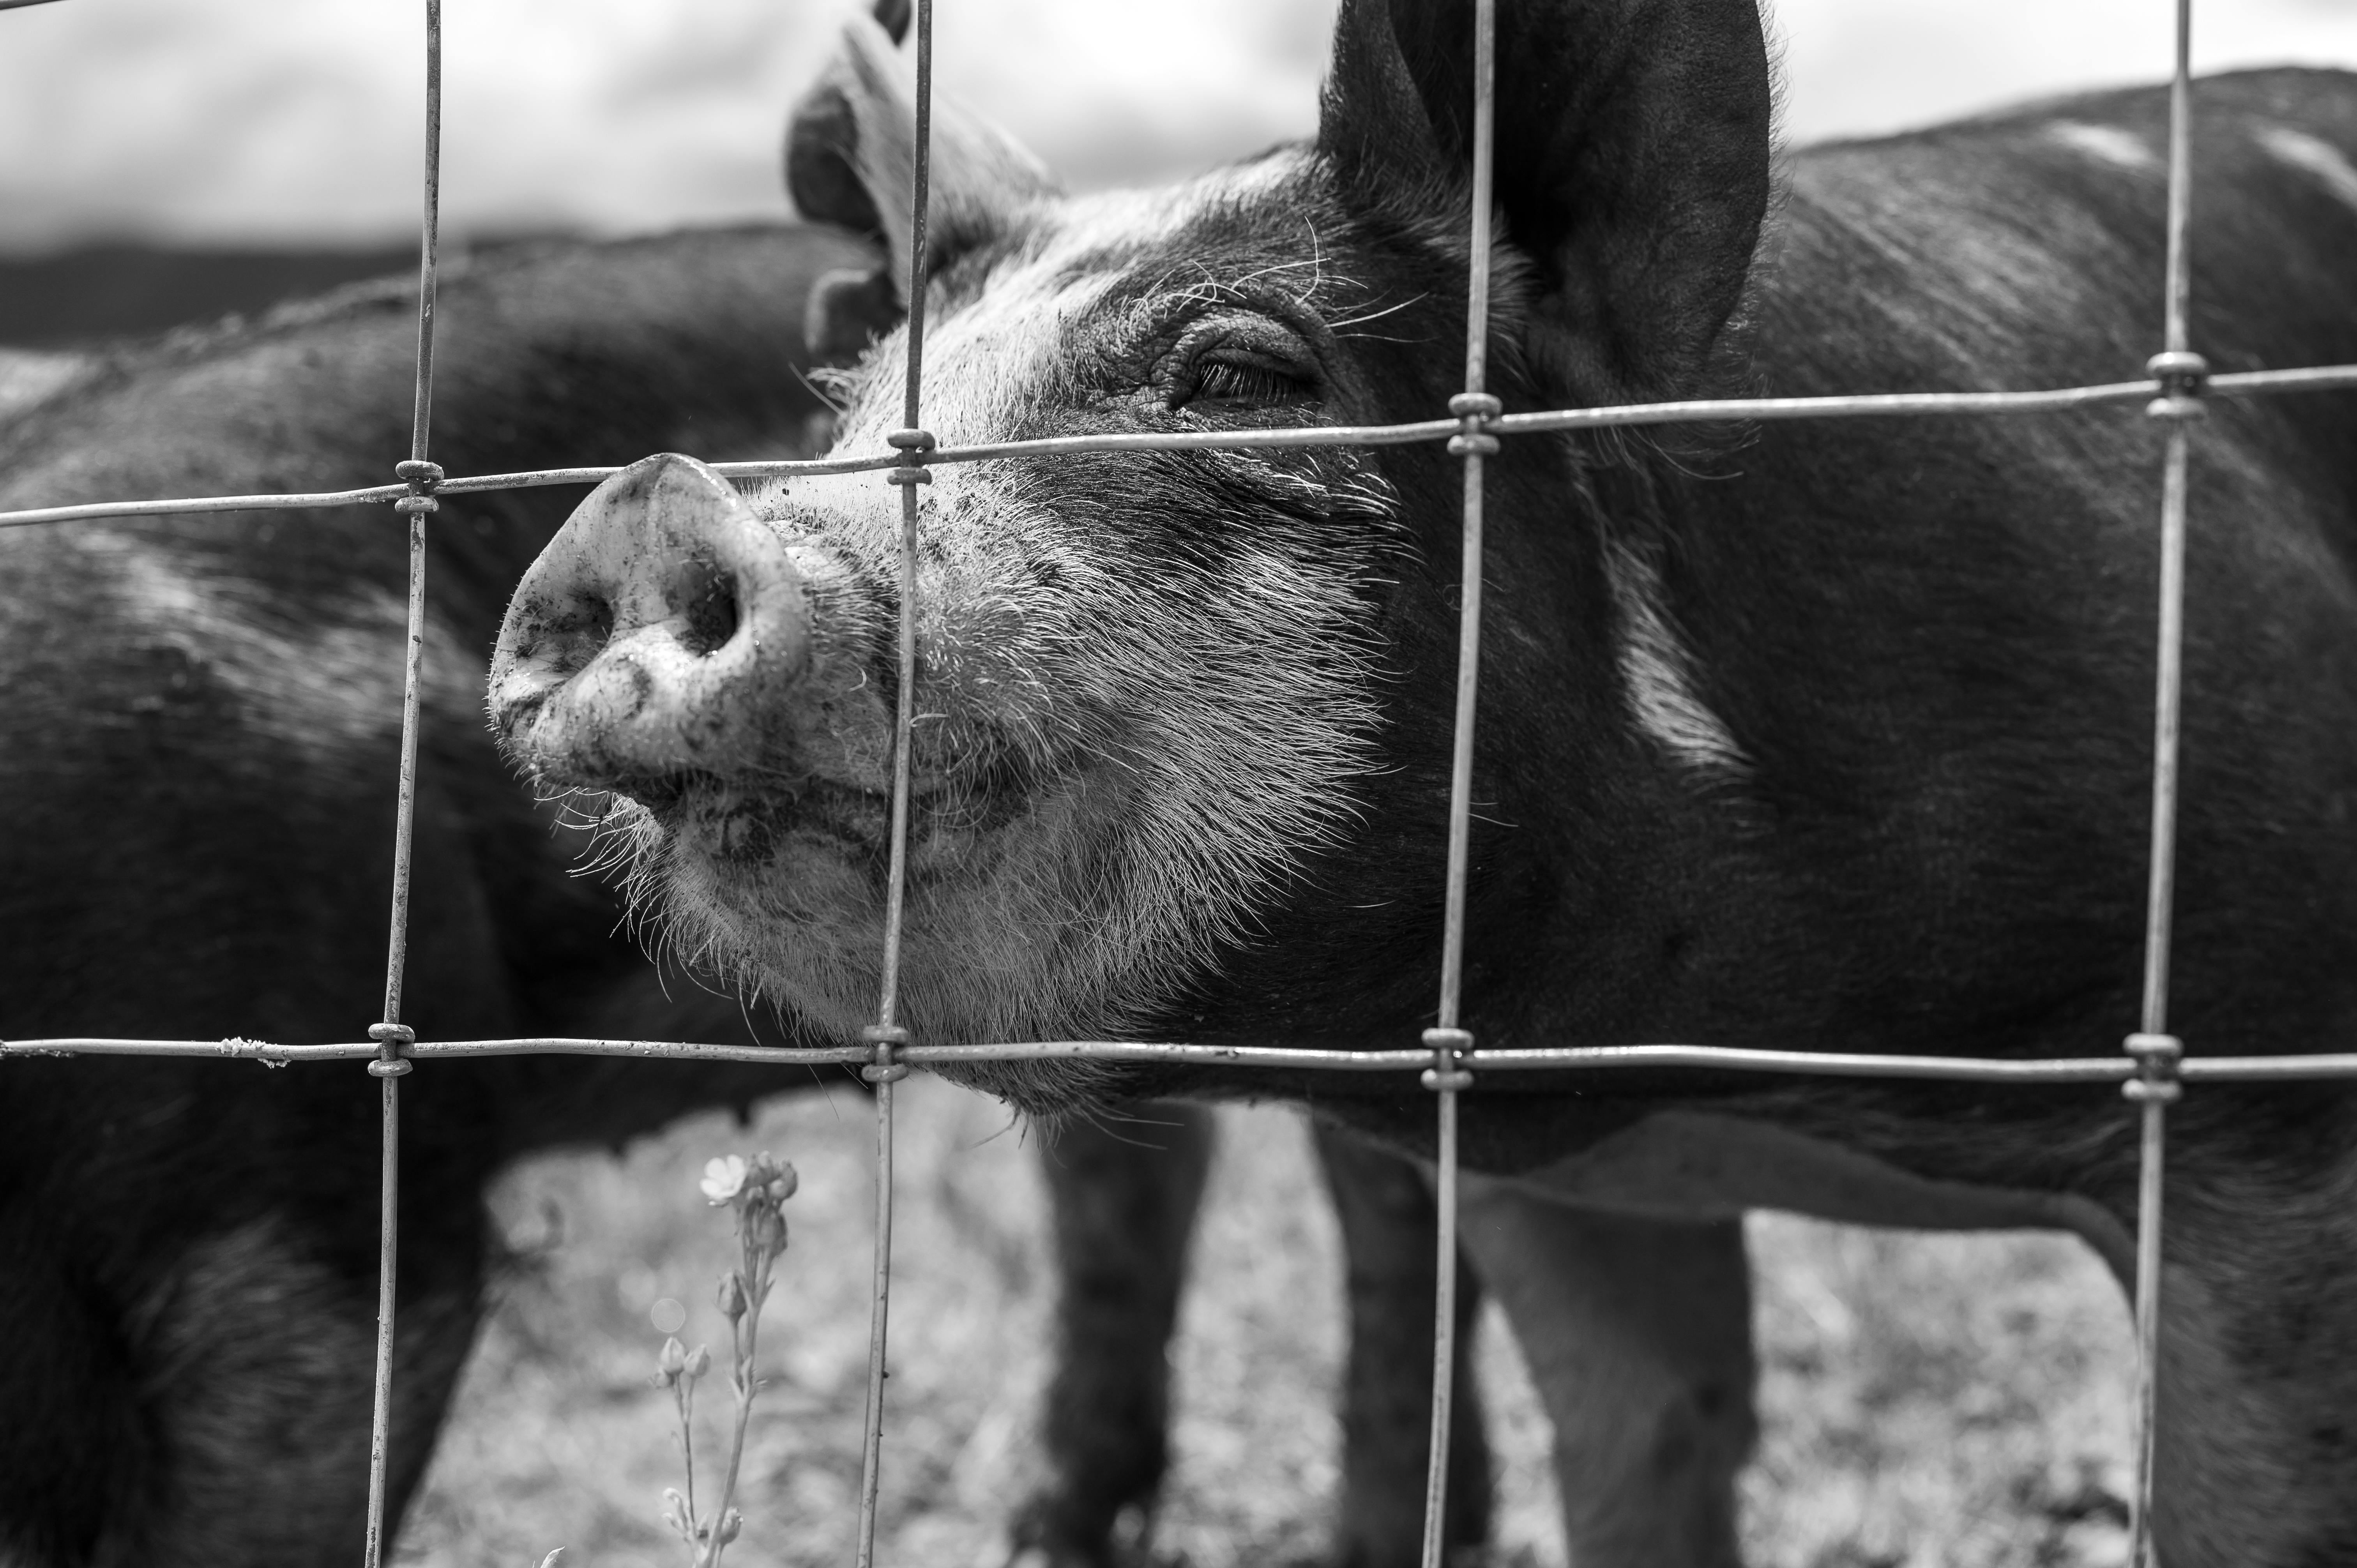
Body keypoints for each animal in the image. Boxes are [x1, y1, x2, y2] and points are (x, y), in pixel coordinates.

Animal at [487, 0, 2357, 1565]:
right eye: (854, 413)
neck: (1726, 1073)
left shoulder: (2264, 1106)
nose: (644, 503)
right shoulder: (1566, 1189)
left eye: (1239, 373)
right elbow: (1646, 1452)